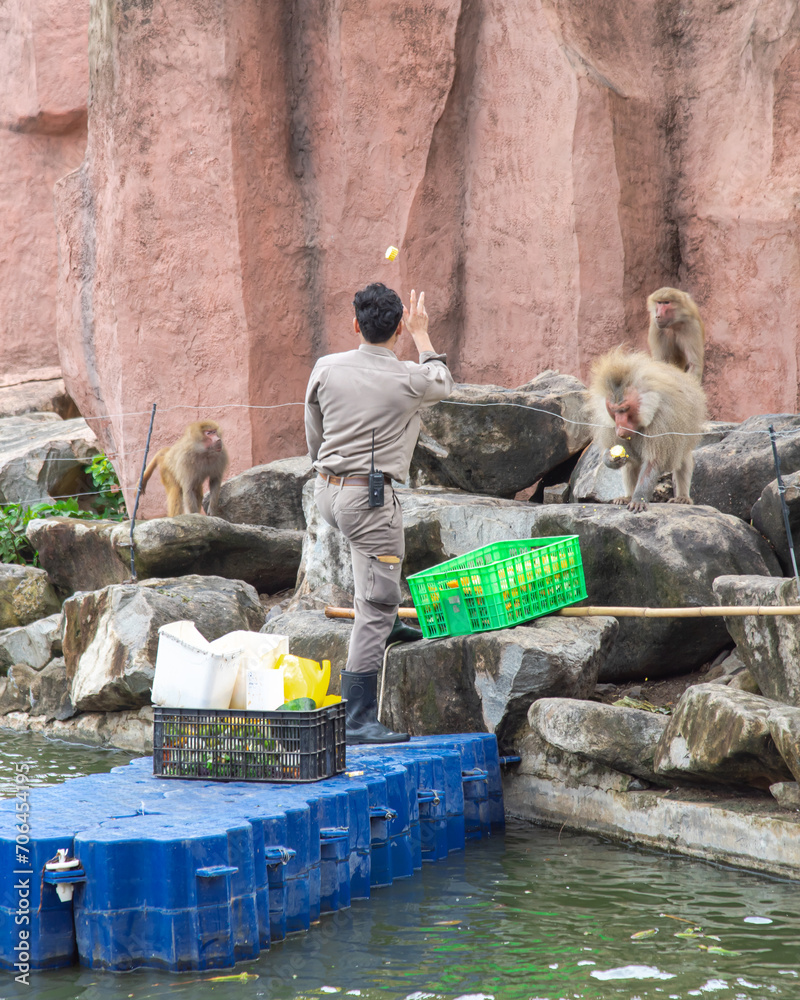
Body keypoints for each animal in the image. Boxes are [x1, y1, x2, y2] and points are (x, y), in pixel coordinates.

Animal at [586, 348, 707, 513]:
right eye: (614, 410)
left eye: (625, 409)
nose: (620, 430)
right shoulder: (609, 425)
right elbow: (619, 454)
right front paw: (610, 459)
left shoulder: (663, 421)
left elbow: (653, 461)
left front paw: (639, 500)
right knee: (631, 465)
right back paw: (627, 497)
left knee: (683, 458)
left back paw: (682, 497)